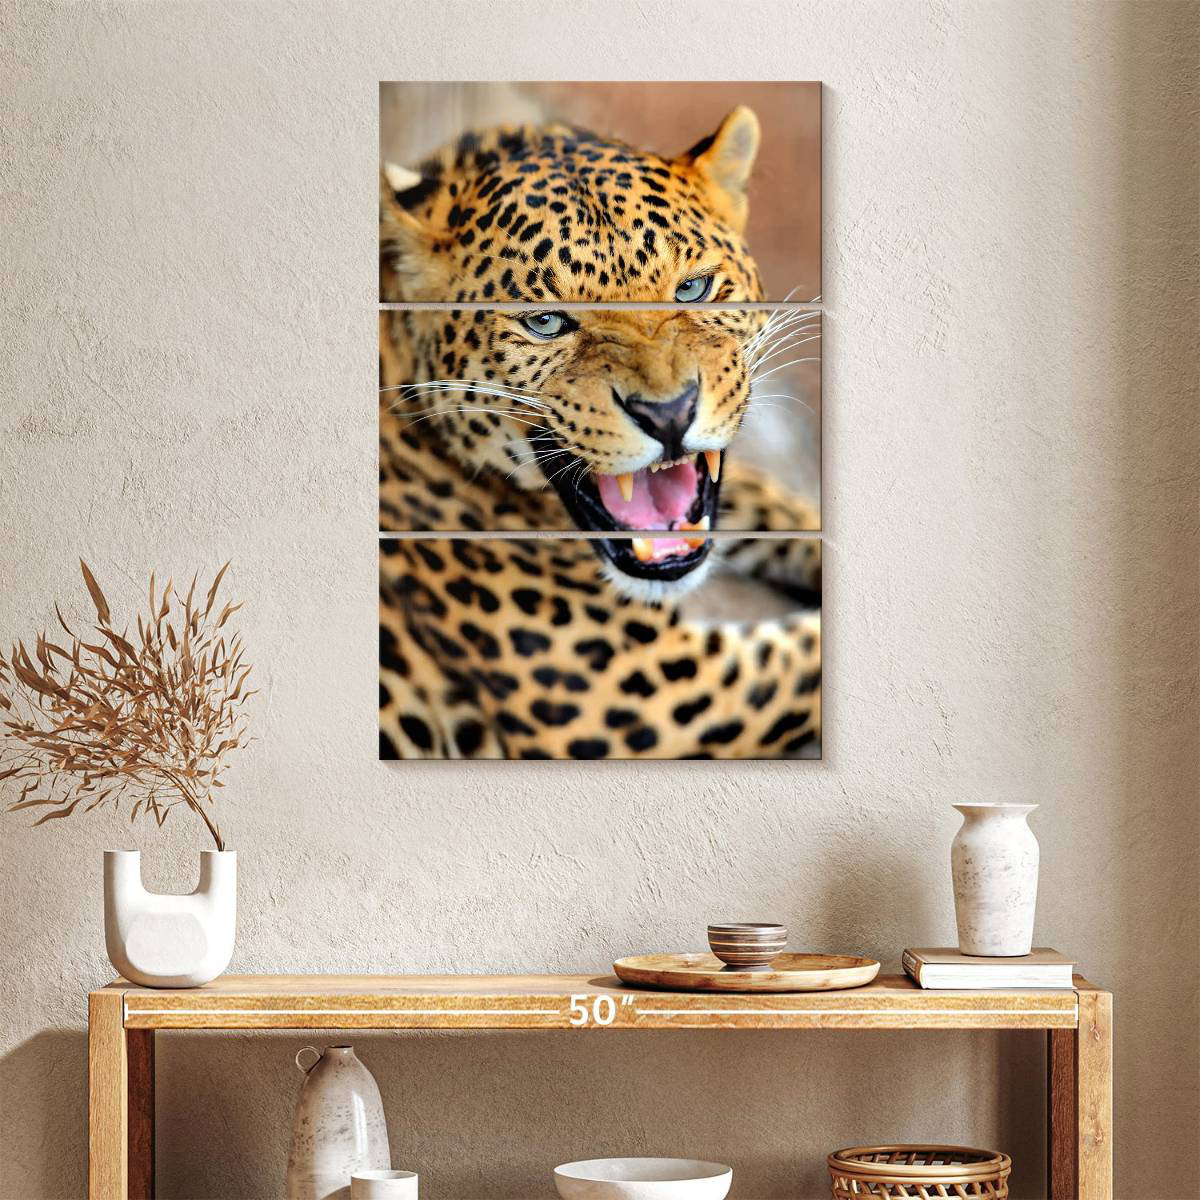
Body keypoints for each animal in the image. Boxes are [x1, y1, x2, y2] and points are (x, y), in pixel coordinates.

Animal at [378, 106, 821, 758]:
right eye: (545, 322)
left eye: (692, 288)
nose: (669, 414)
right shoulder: (645, 697)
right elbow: (811, 654)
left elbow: (781, 506)